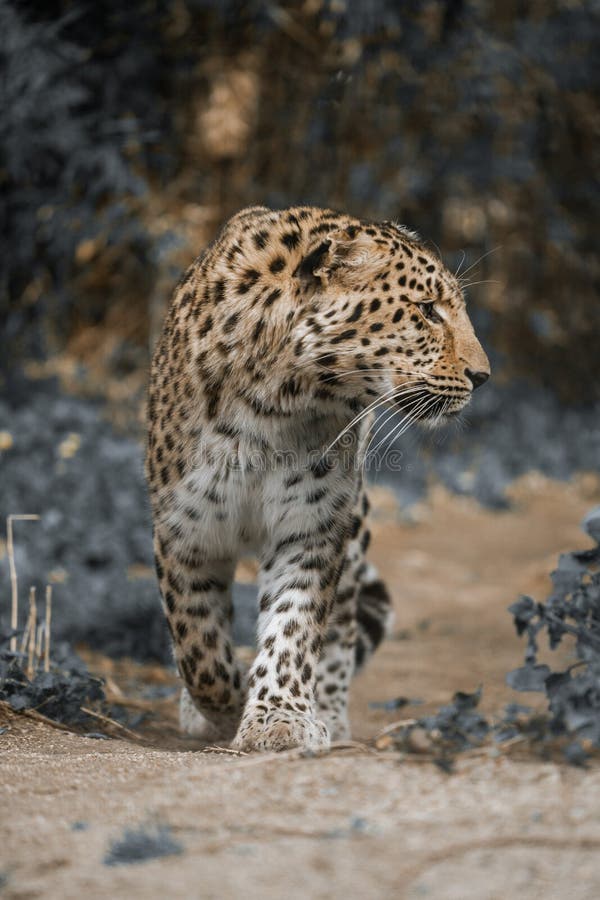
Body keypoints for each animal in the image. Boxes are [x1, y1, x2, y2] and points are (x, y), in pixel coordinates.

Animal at [145, 205, 490, 753]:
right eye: (427, 310)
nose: (483, 376)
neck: (276, 404)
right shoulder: (187, 529)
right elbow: (197, 645)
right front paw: (222, 706)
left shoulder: (312, 527)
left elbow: (294, 627)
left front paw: (279, 717)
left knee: (341, 631)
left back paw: (328, 714)